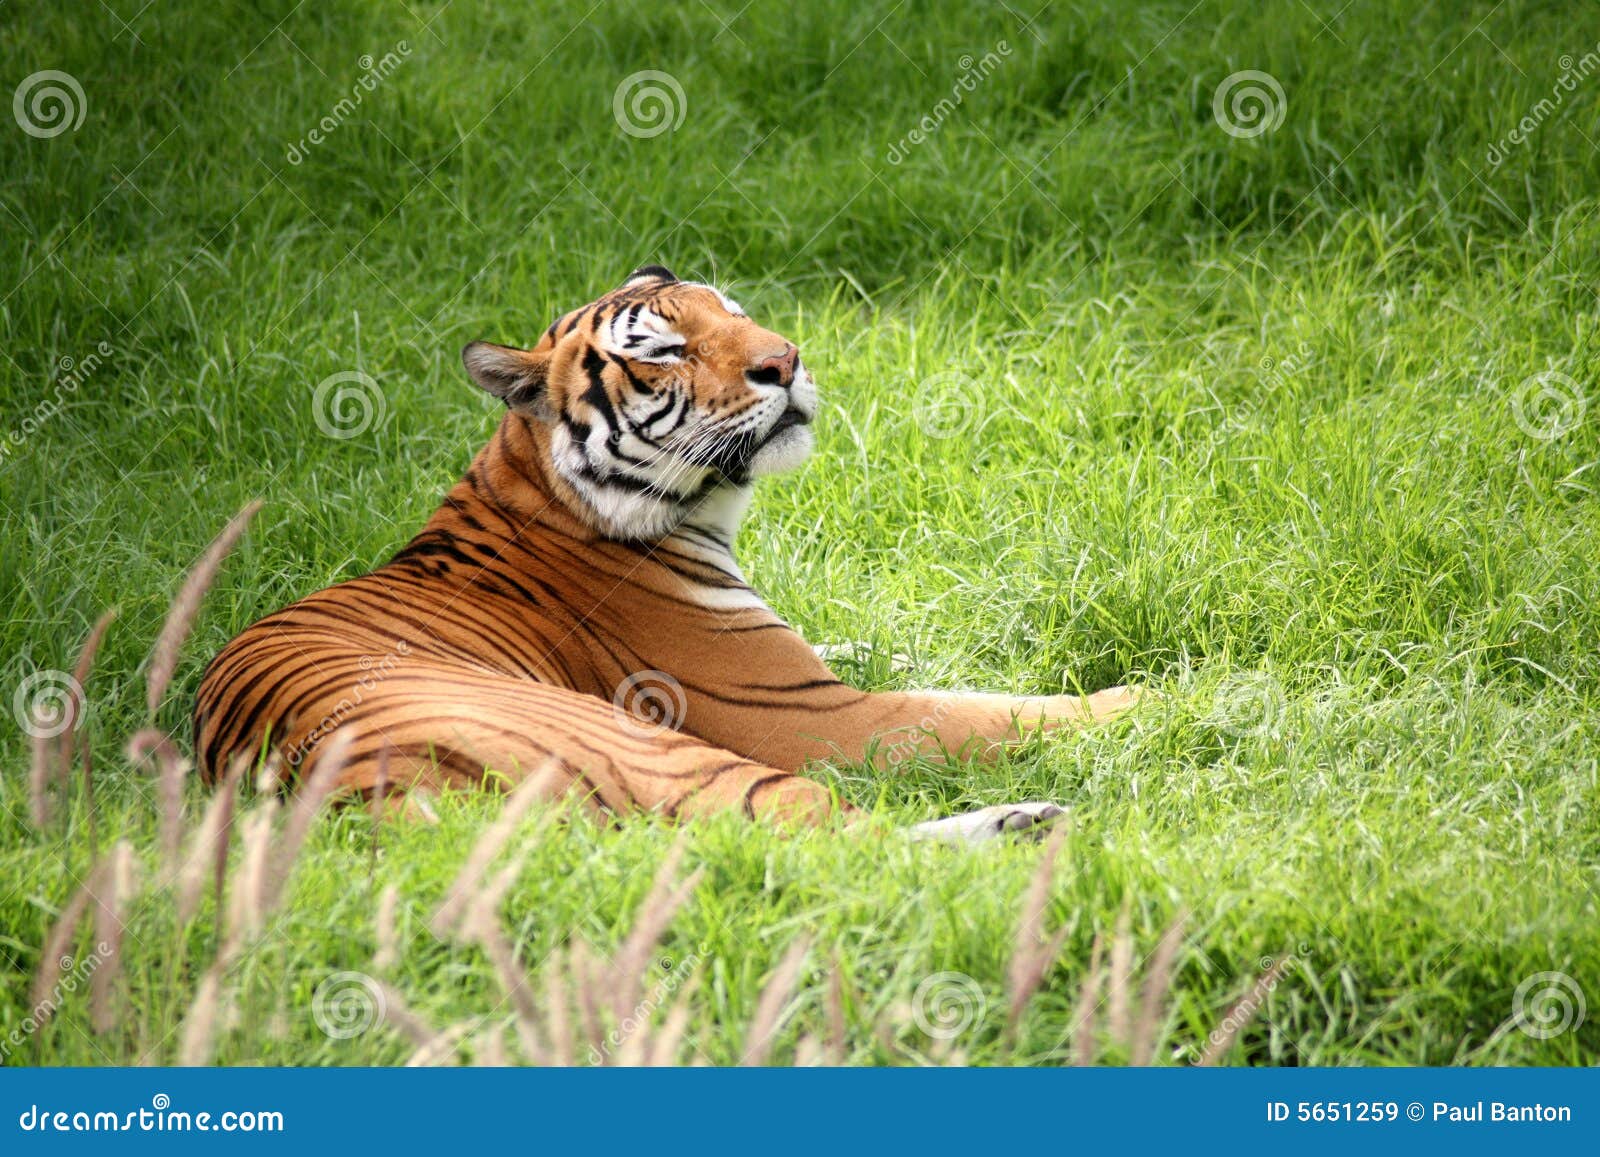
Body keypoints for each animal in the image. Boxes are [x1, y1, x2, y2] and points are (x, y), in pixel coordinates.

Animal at [193, 265, 1141, 843]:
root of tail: (360, 795)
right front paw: (1152, 696)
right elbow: (993, 712)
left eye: (736, 314)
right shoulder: (818, 714)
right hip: (668, 752)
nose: (786, 359)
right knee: (836, 846)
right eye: (668, 351)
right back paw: (1028, 824)